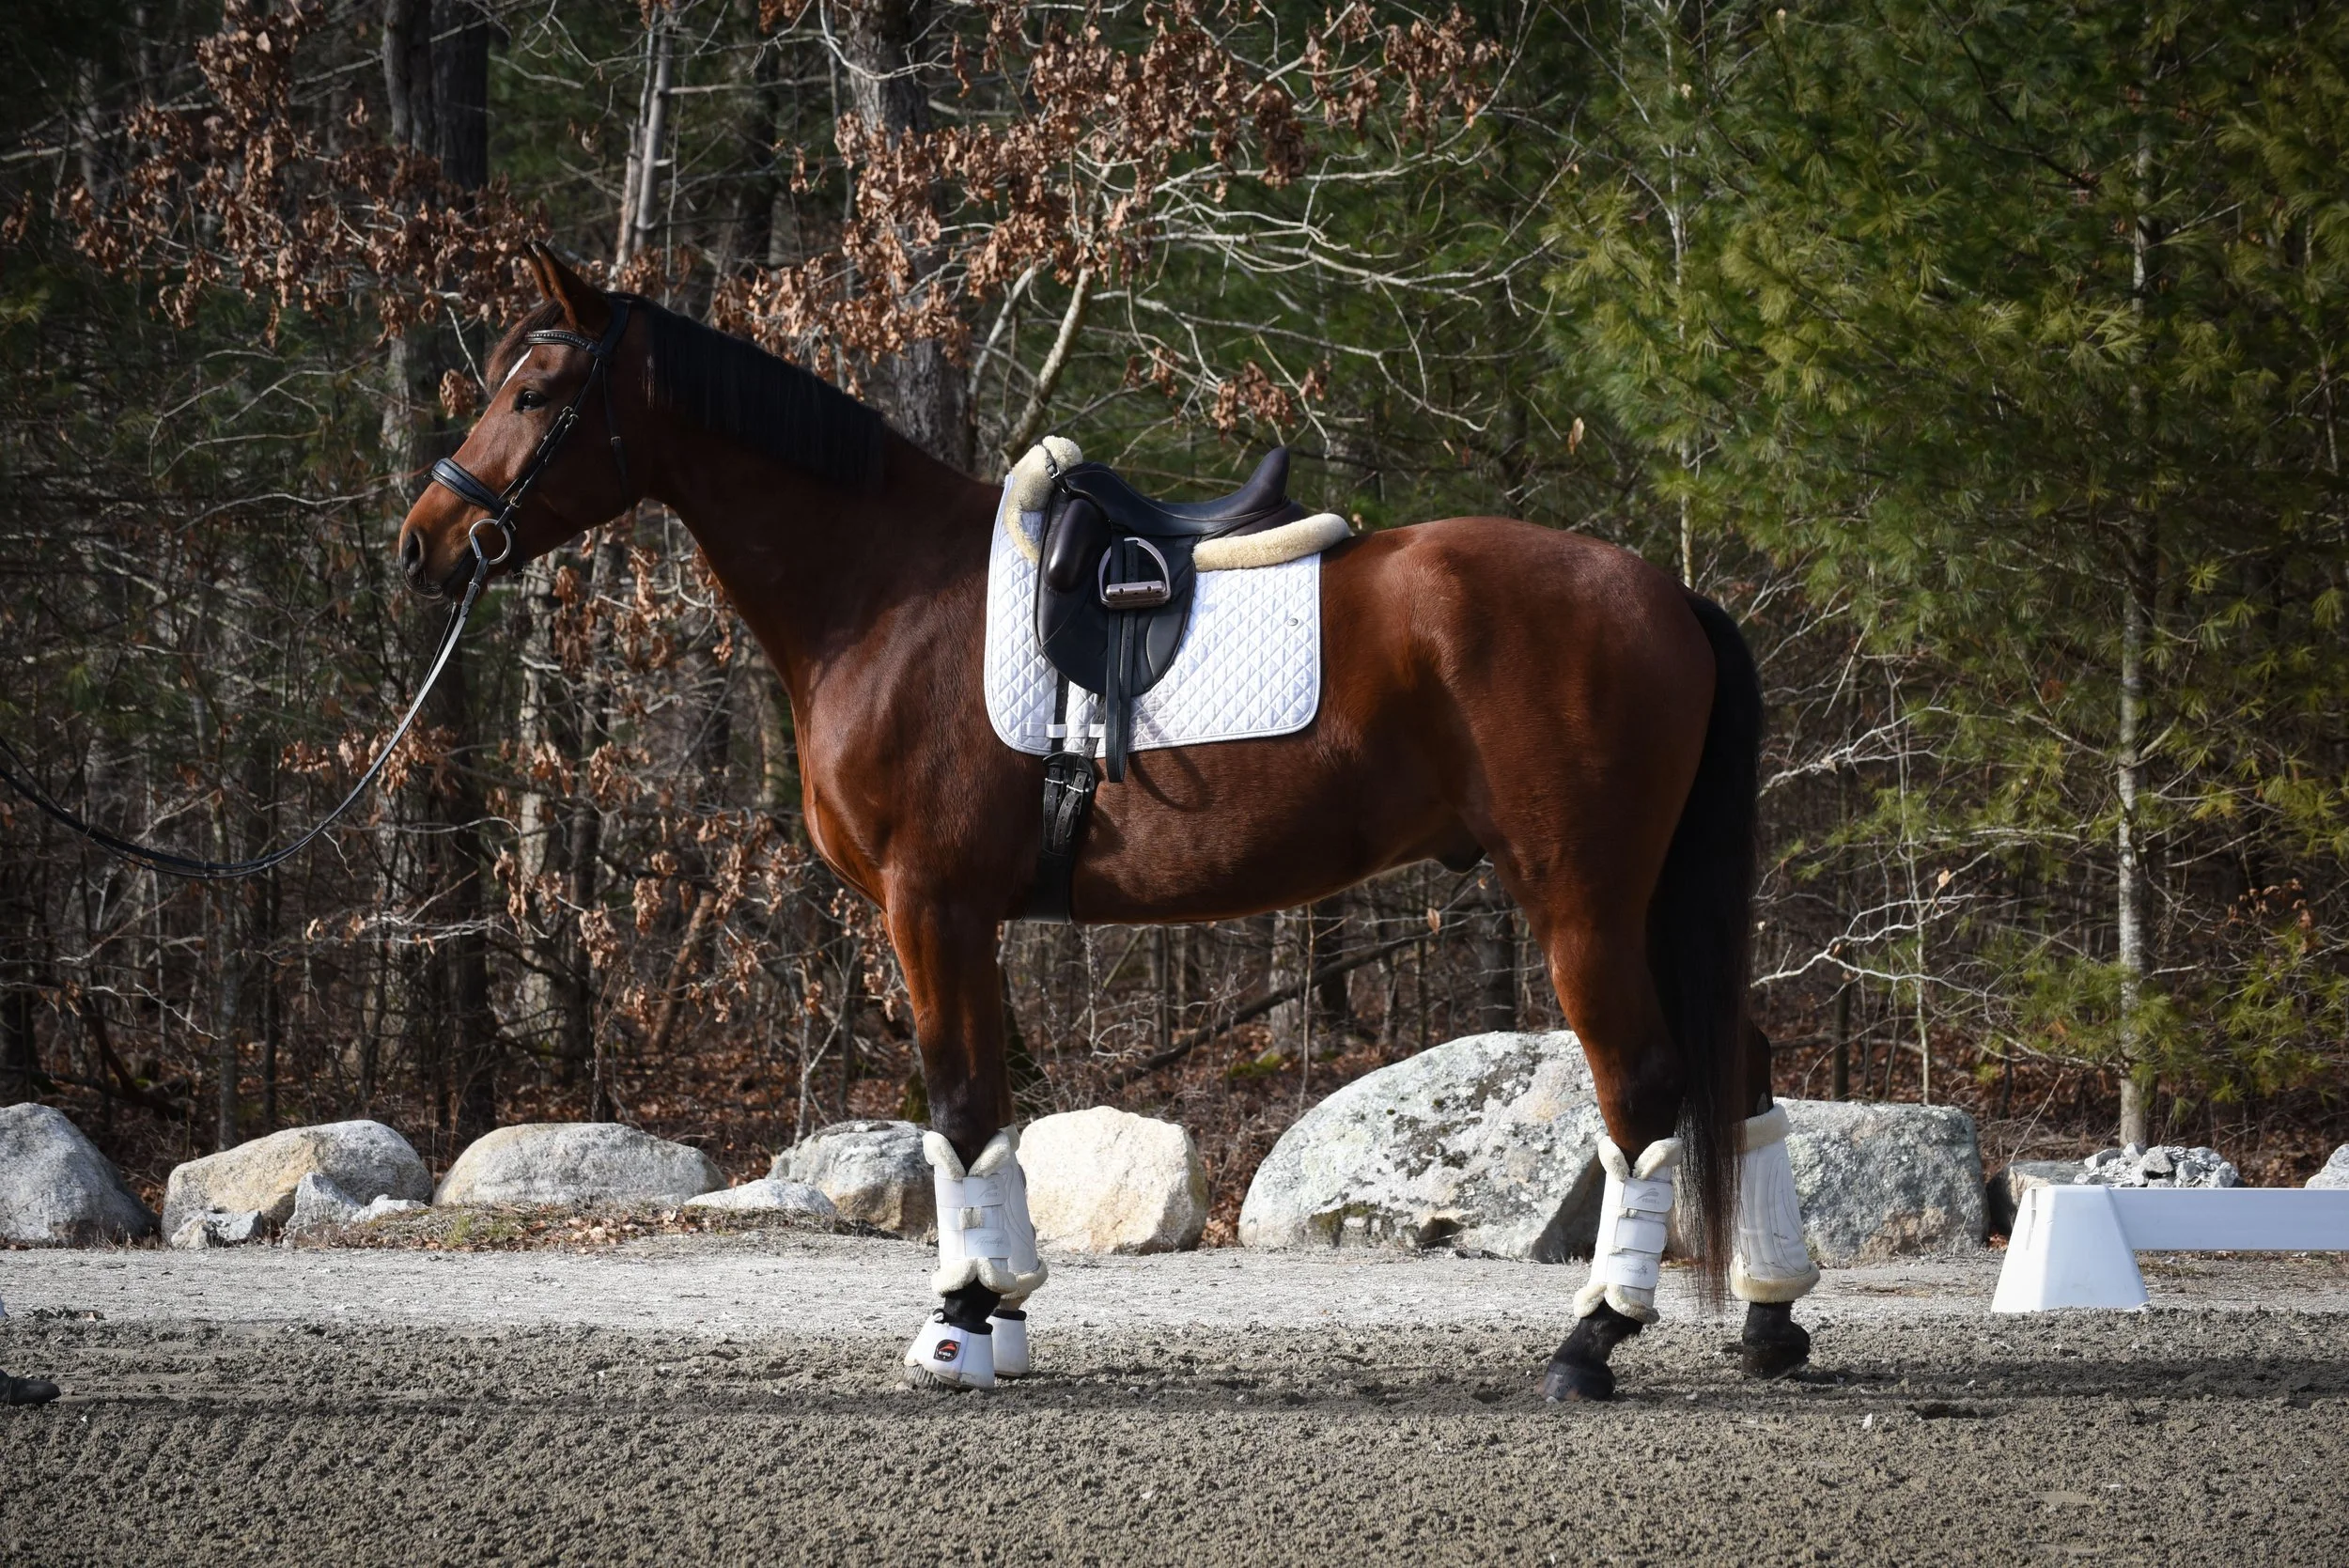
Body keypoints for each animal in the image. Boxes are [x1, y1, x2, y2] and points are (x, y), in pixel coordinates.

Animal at [396, 243, 1822, 1400]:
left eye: (536, 392)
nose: (427, 540)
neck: (887, 595)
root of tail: (1664, 594)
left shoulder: (931, 905)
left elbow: (959, 1106)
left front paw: (959, 1324)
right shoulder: (966, 918)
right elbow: (985, 1111)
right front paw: (1000, 1304)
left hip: (1583, 902)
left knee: (1644, 1090)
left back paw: (1593, 1339)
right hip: (1646, 902)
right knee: (1741, 1069)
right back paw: (1770, 1320)